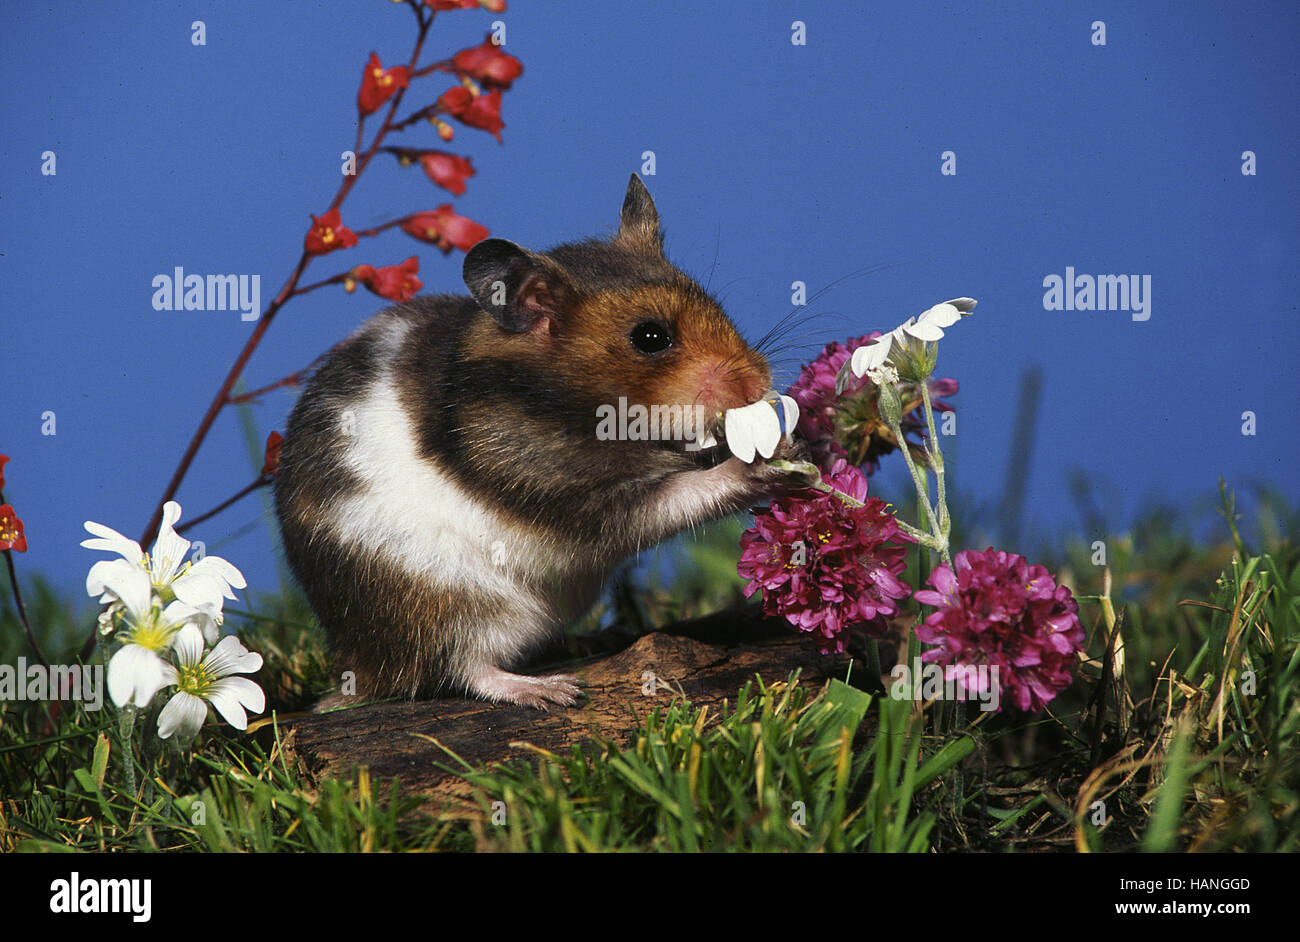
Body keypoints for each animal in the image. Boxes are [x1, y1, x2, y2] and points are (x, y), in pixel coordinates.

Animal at [274, 175, 794, 709]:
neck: (565, 406)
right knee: (461, 667)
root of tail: (357, 664)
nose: (759, 383)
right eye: (651, 337)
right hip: (454, 599)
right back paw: (551, 691)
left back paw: (597, 638)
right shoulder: (565, 492)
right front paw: (767, 464)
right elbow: (680, 495)